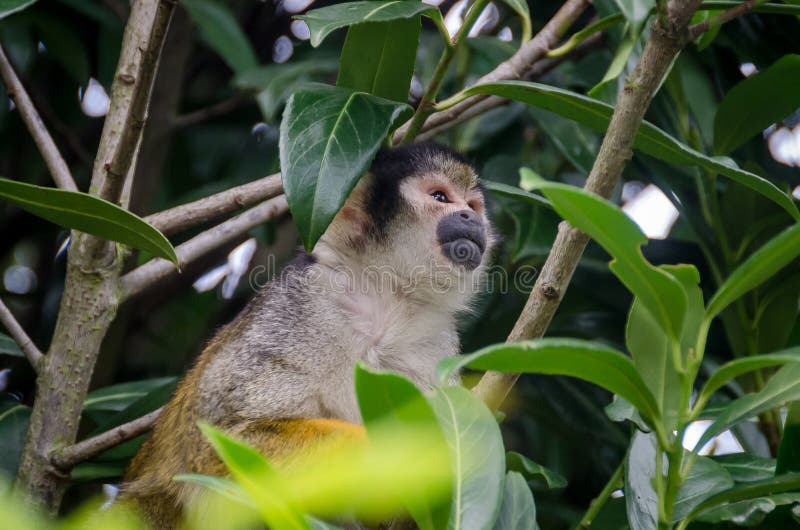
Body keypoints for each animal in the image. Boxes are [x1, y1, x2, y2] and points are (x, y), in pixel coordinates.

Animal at [121, 142, 494, 528]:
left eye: (473, 204)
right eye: (440, 196)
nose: (470, 217)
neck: (387, 303)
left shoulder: (436, 345)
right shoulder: (298, 308)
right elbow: (221, 440)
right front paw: (390, 455)